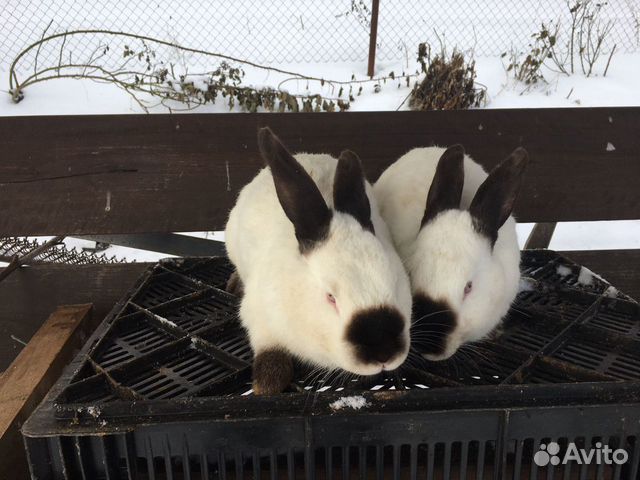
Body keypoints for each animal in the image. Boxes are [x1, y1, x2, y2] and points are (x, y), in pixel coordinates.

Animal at [225, 127, 412, 394]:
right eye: (330, 297)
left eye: (396, 282)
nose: (383, 353)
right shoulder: (257, 315)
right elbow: (270, 351)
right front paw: (266, 385)